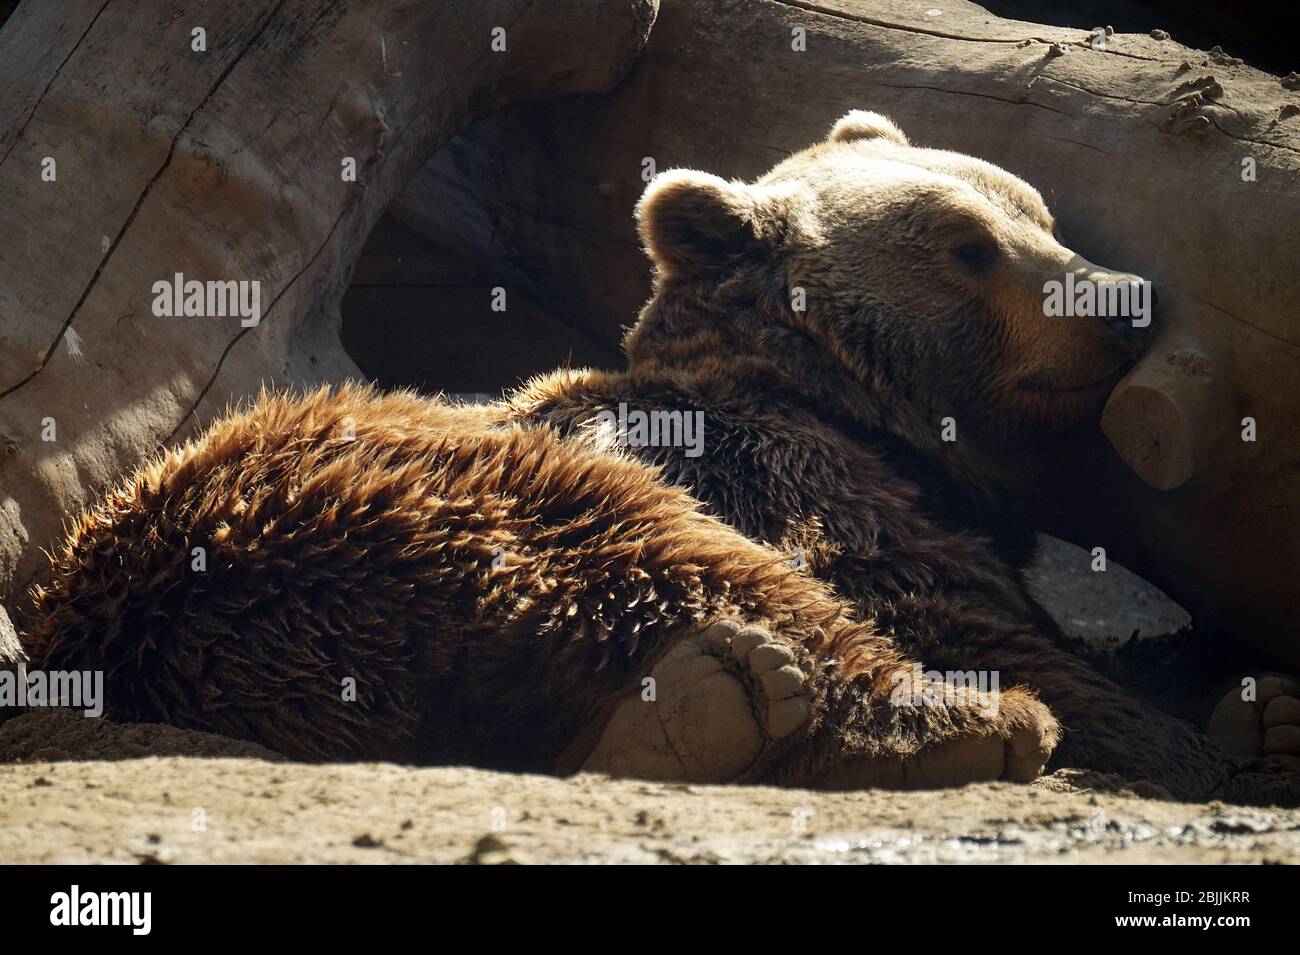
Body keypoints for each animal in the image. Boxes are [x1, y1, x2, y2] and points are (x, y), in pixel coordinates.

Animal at [16, 111, 1300, 800]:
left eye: (1028, 206)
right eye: (966, 246)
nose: (1122, 298)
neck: (862, 411)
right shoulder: (804, 478)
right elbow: (975, 617)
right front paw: (1191, 728)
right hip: (394, 478)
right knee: (685, 563)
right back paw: (923, 716)